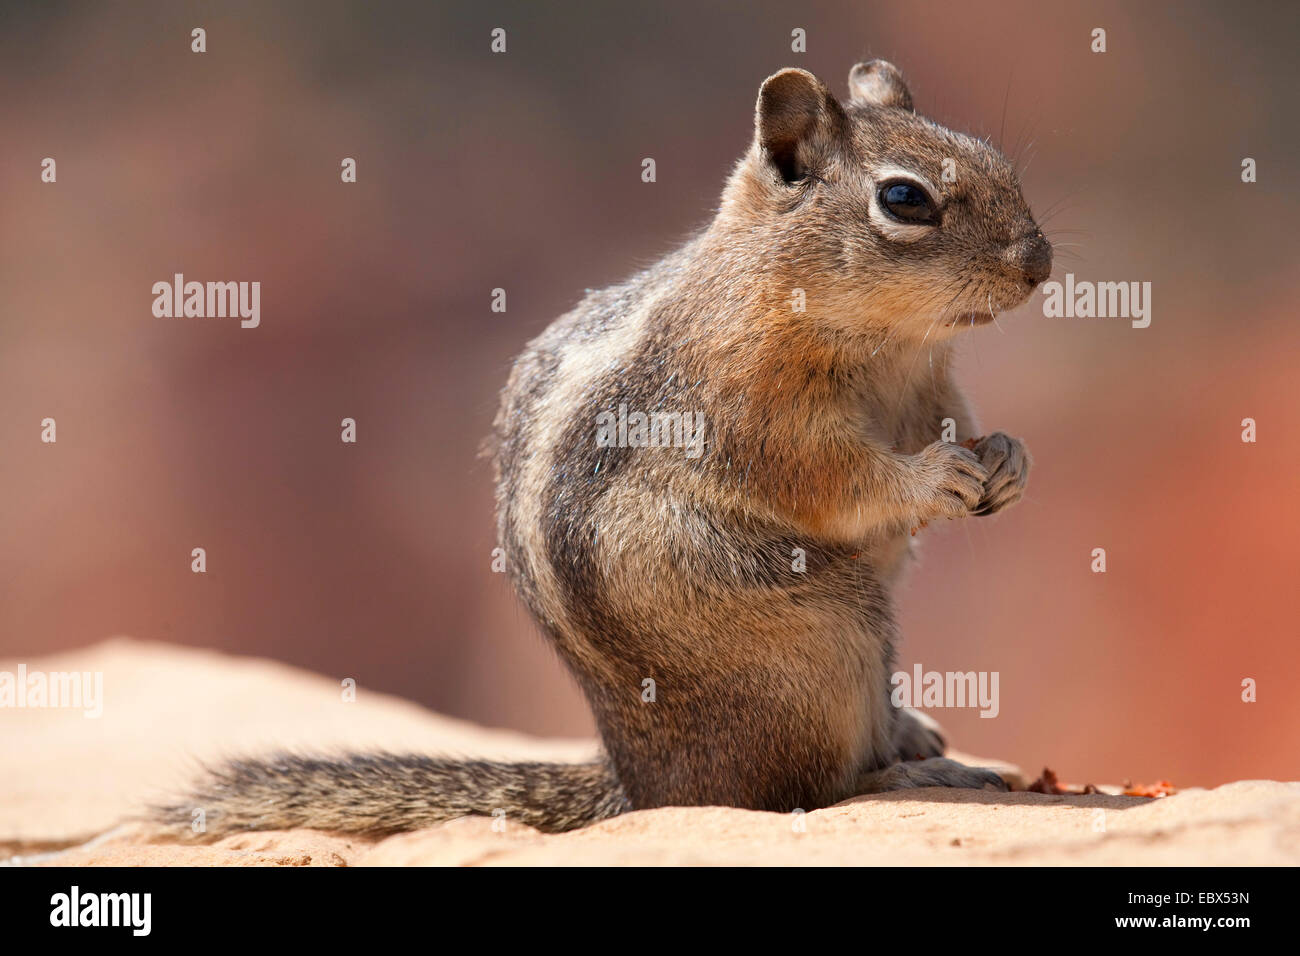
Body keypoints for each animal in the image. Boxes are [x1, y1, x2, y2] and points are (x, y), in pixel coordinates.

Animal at [158, 60, 1051, 838]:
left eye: (1001, 165)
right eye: (905, 198)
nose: (1038, 265)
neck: (894, 342)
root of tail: (642, 781)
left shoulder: (934, 389)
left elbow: (958, 422)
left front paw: (1008, 456)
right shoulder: (750, 404)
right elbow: (831, 477)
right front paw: (933, 475)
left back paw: (911, 732)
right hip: (822, 643)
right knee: (798, 789)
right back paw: (912, 770)